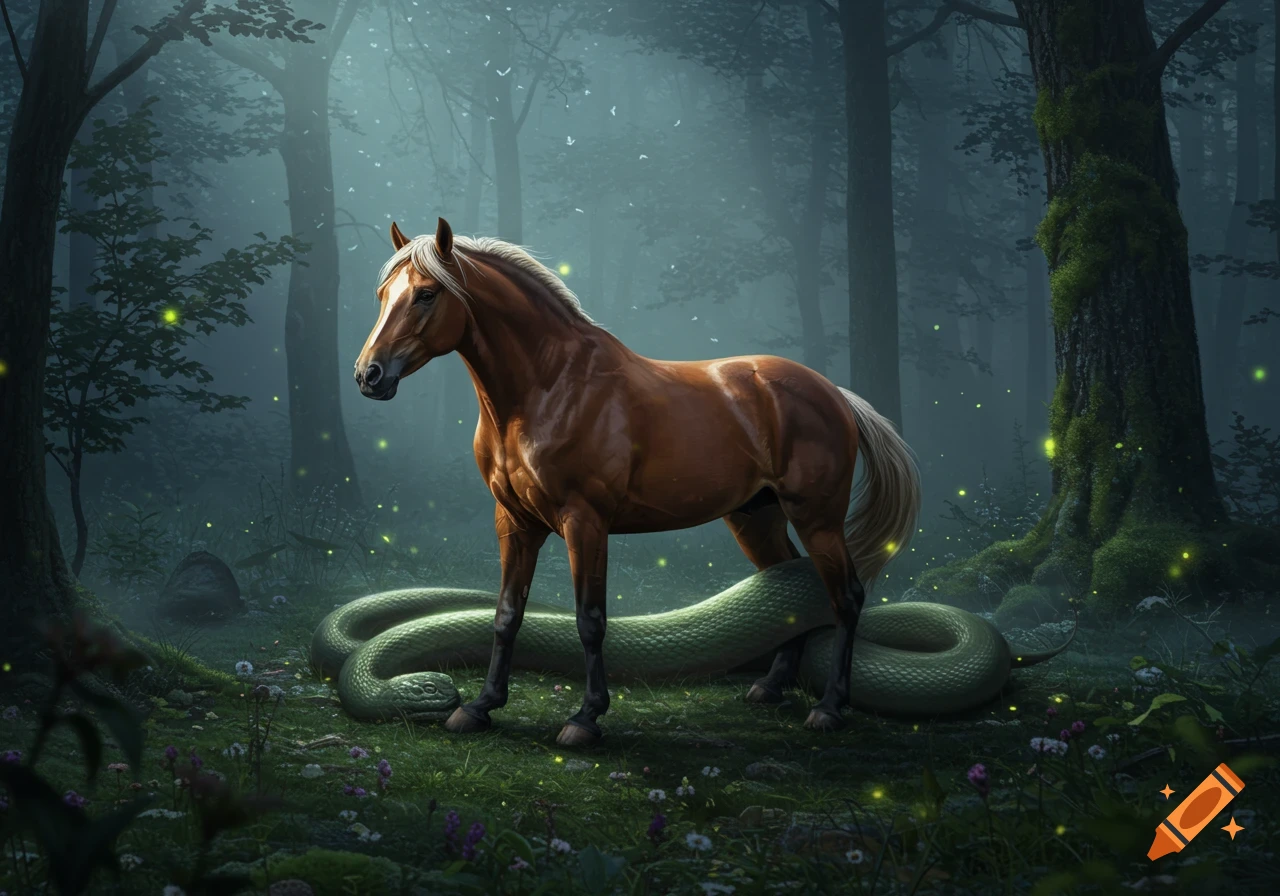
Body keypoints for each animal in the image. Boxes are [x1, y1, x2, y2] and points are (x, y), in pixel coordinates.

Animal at [353, 217, 922, 747]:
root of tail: (833, 393)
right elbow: (506, 614)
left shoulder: (584, 522)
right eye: (382, 295)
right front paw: (479, 707)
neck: (548, 386)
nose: (368, 375)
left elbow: (590, 619)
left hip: (817, 517)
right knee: (785, 586)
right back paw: (769, 688)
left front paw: (586, 718)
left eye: (427, 294)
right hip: (756, 518)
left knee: (845, 596)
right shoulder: (514, 522)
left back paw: (829, 708)